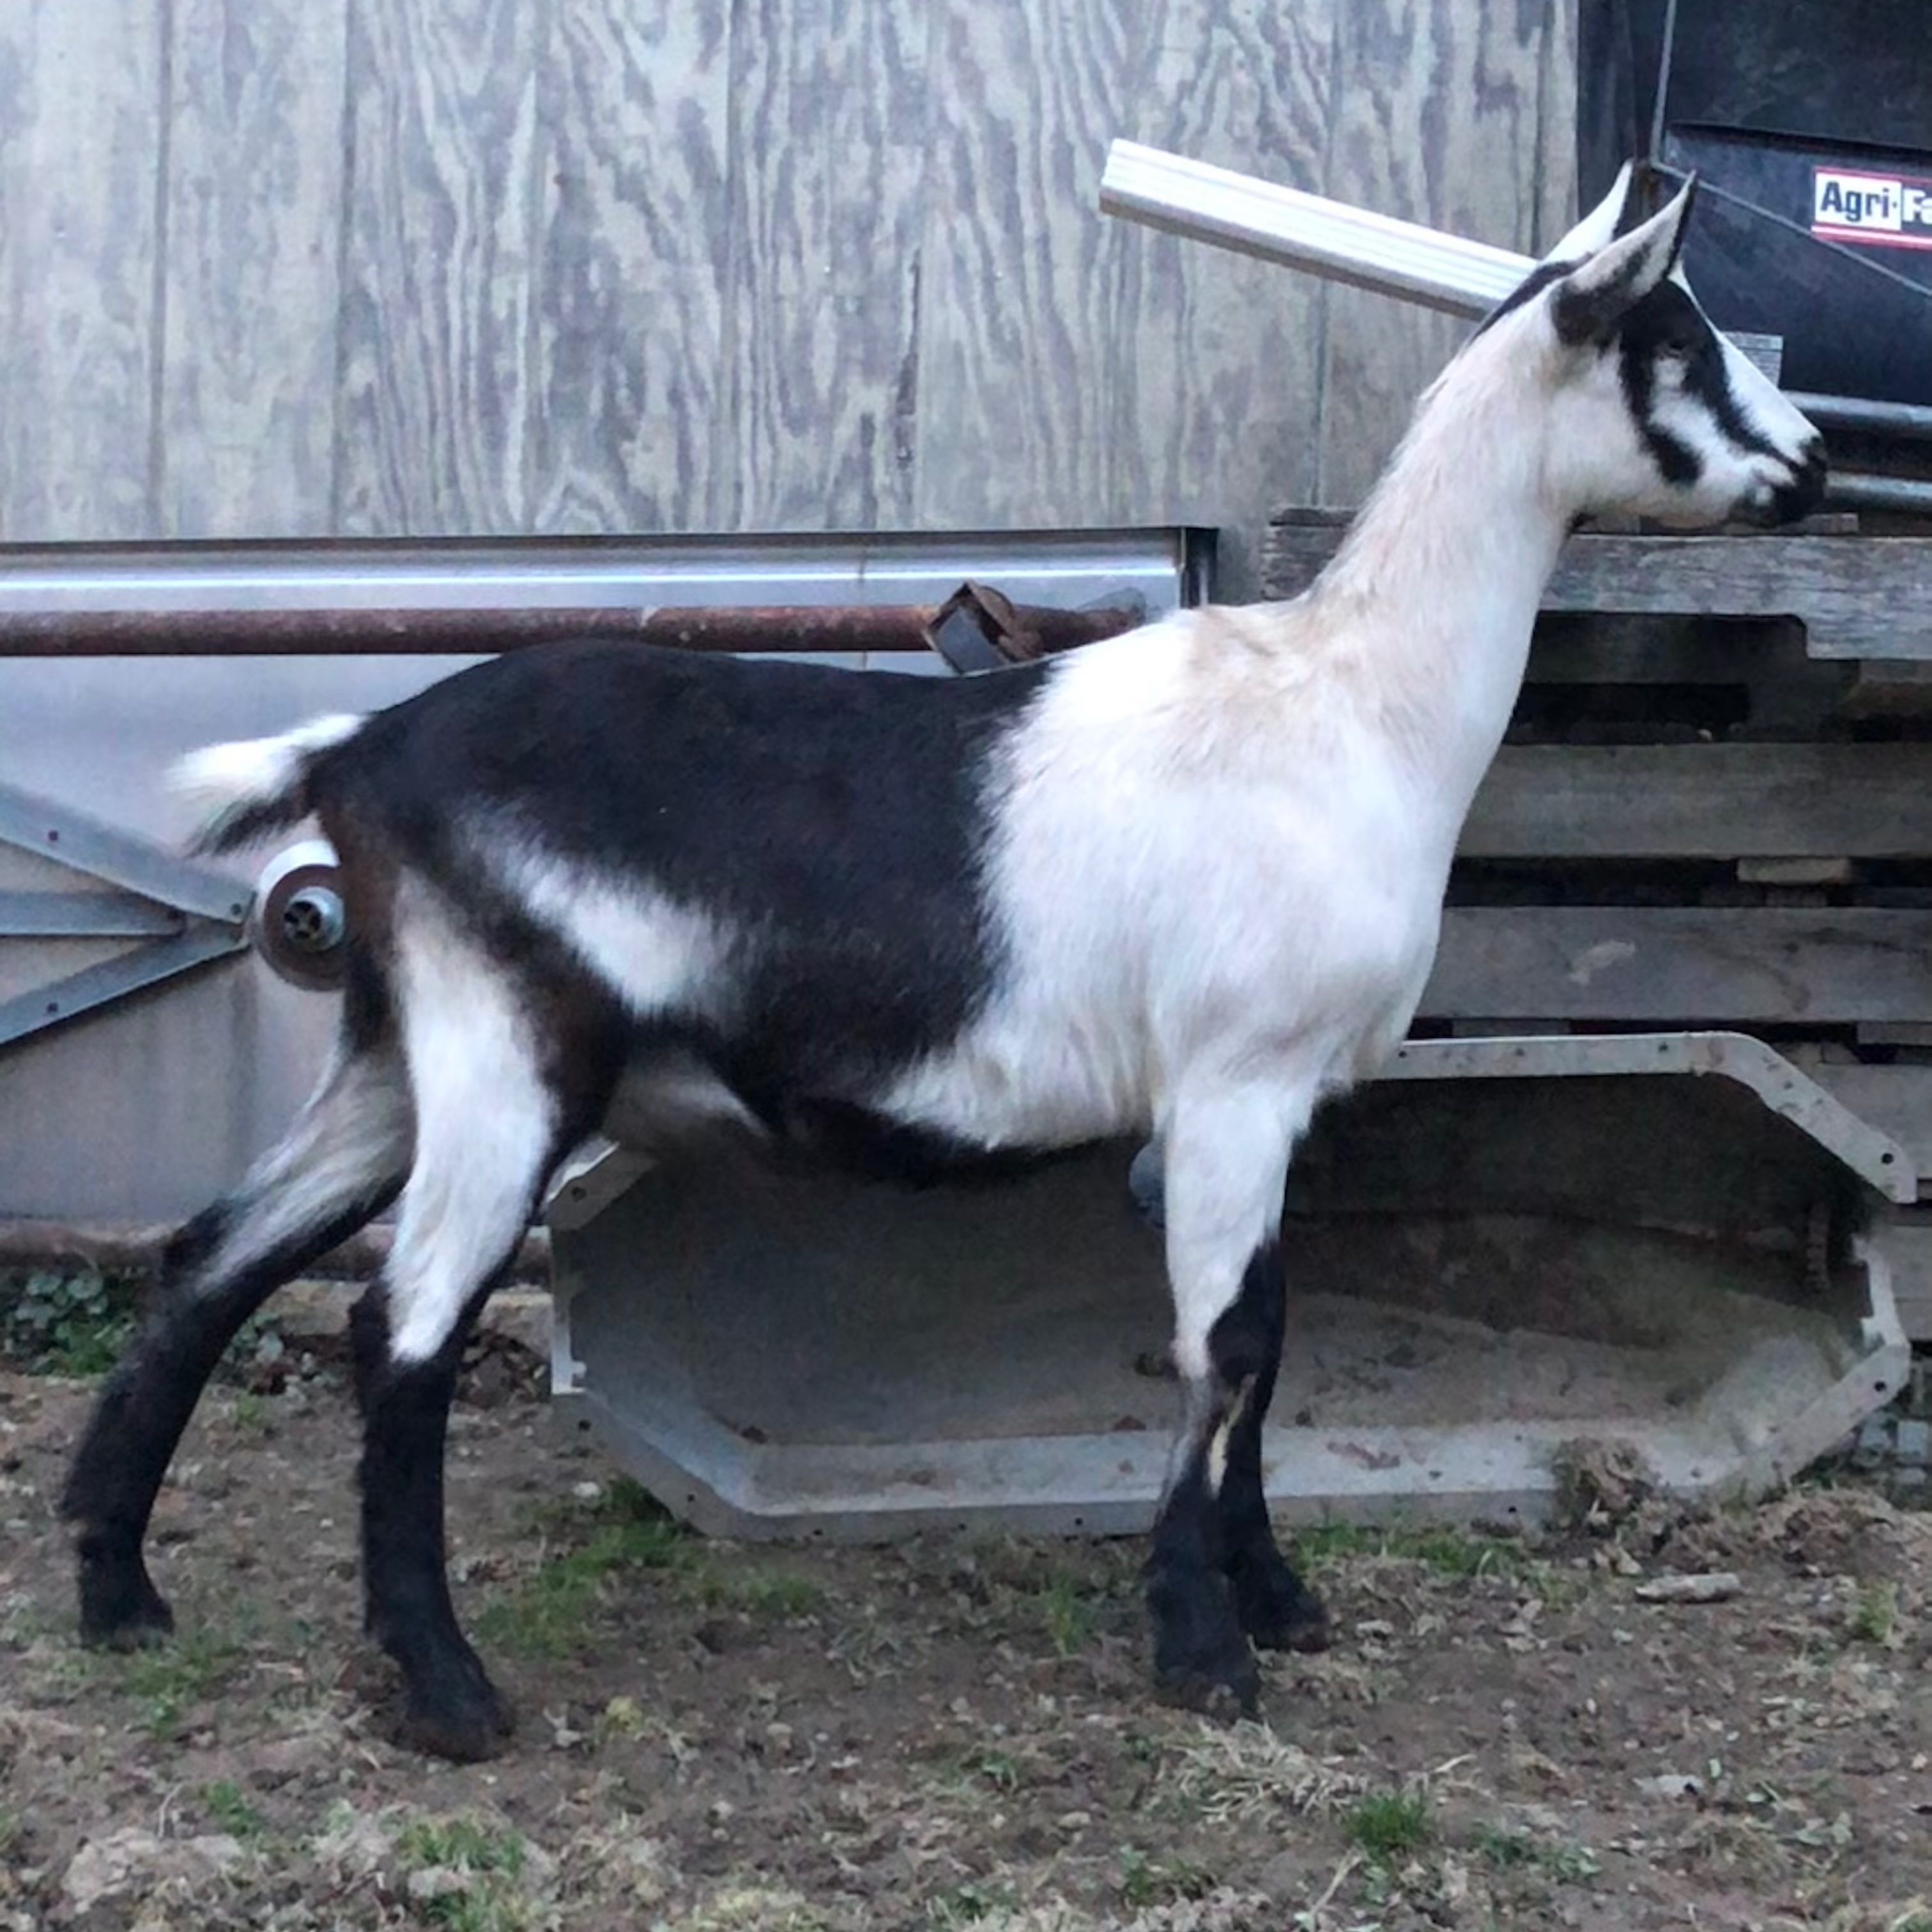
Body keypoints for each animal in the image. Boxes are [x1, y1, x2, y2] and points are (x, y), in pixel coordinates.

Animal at [63, 163, 1824, 1760]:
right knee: (404, 1319)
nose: (1811, 463)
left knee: (215, 1252)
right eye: (1677, 337)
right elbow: (1229, 1343)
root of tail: (361, 752)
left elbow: (1269, 1334)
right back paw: (445, 1695)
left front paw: (1275, 1600)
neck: (1347, 697)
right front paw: (1204, 1647)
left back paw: (118, 1594)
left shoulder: (1284, 1103)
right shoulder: (1235, 1082)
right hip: (505, 1050)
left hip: (395, 1044)